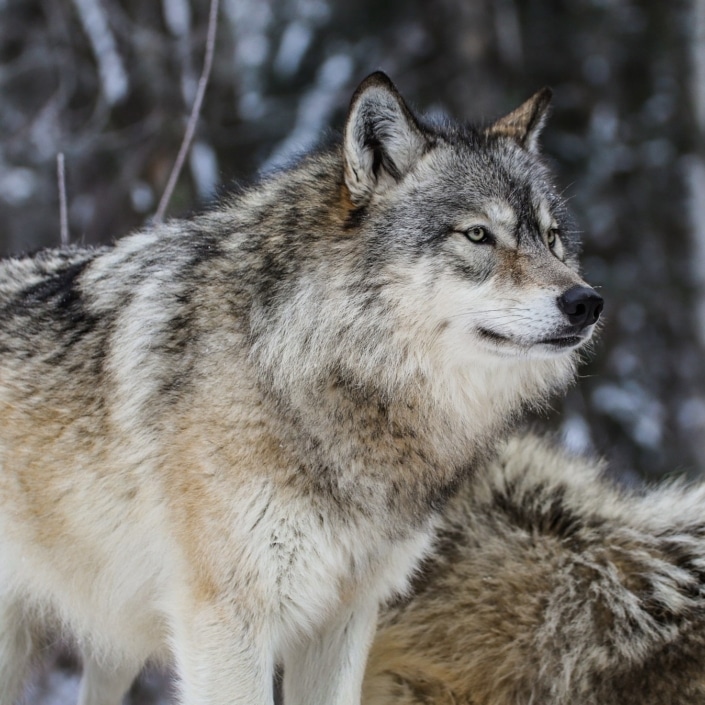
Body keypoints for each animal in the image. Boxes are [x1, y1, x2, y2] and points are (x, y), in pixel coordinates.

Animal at [0, 72, 601, 705]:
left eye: (553, 239)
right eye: (479, 234)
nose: (586, 302)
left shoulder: (344, 618)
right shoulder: (227, 621)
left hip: (113, 649)